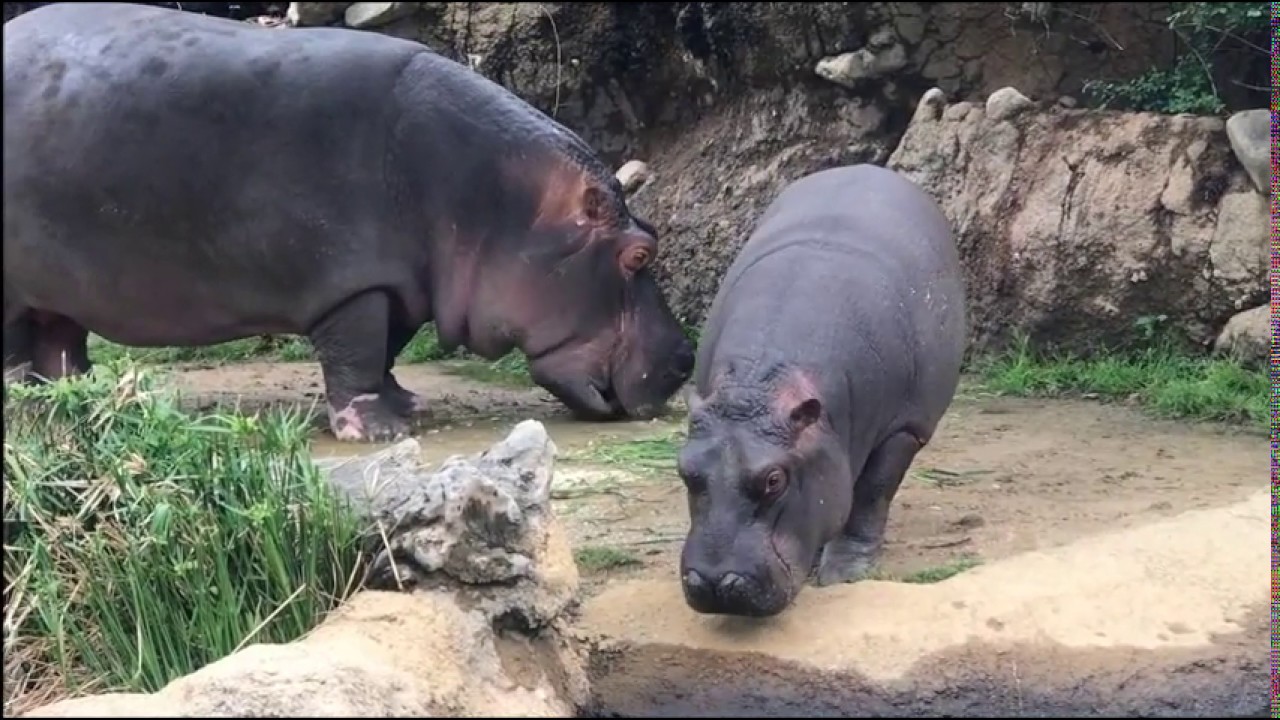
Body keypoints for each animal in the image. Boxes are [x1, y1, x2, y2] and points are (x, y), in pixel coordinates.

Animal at [2, 3, 695, 442]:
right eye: (638, 254)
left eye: (655, 238)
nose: (686, 358)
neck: (501, 201)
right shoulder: (353, 283)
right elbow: (357, 351)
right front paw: (378, 433)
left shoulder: (401, 284)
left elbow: (385, 349)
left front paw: (407, 405)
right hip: (10, 287)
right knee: (16, 343)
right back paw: (23, 403)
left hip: (57, 286)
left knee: (58, 337)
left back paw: (72, 394)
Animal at [675, 164, 967, 617]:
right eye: (684, 469)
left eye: (774, 479)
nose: (713, 583)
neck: (762, 386)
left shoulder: (903, 429)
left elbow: (872, 493)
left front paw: (845, 574)